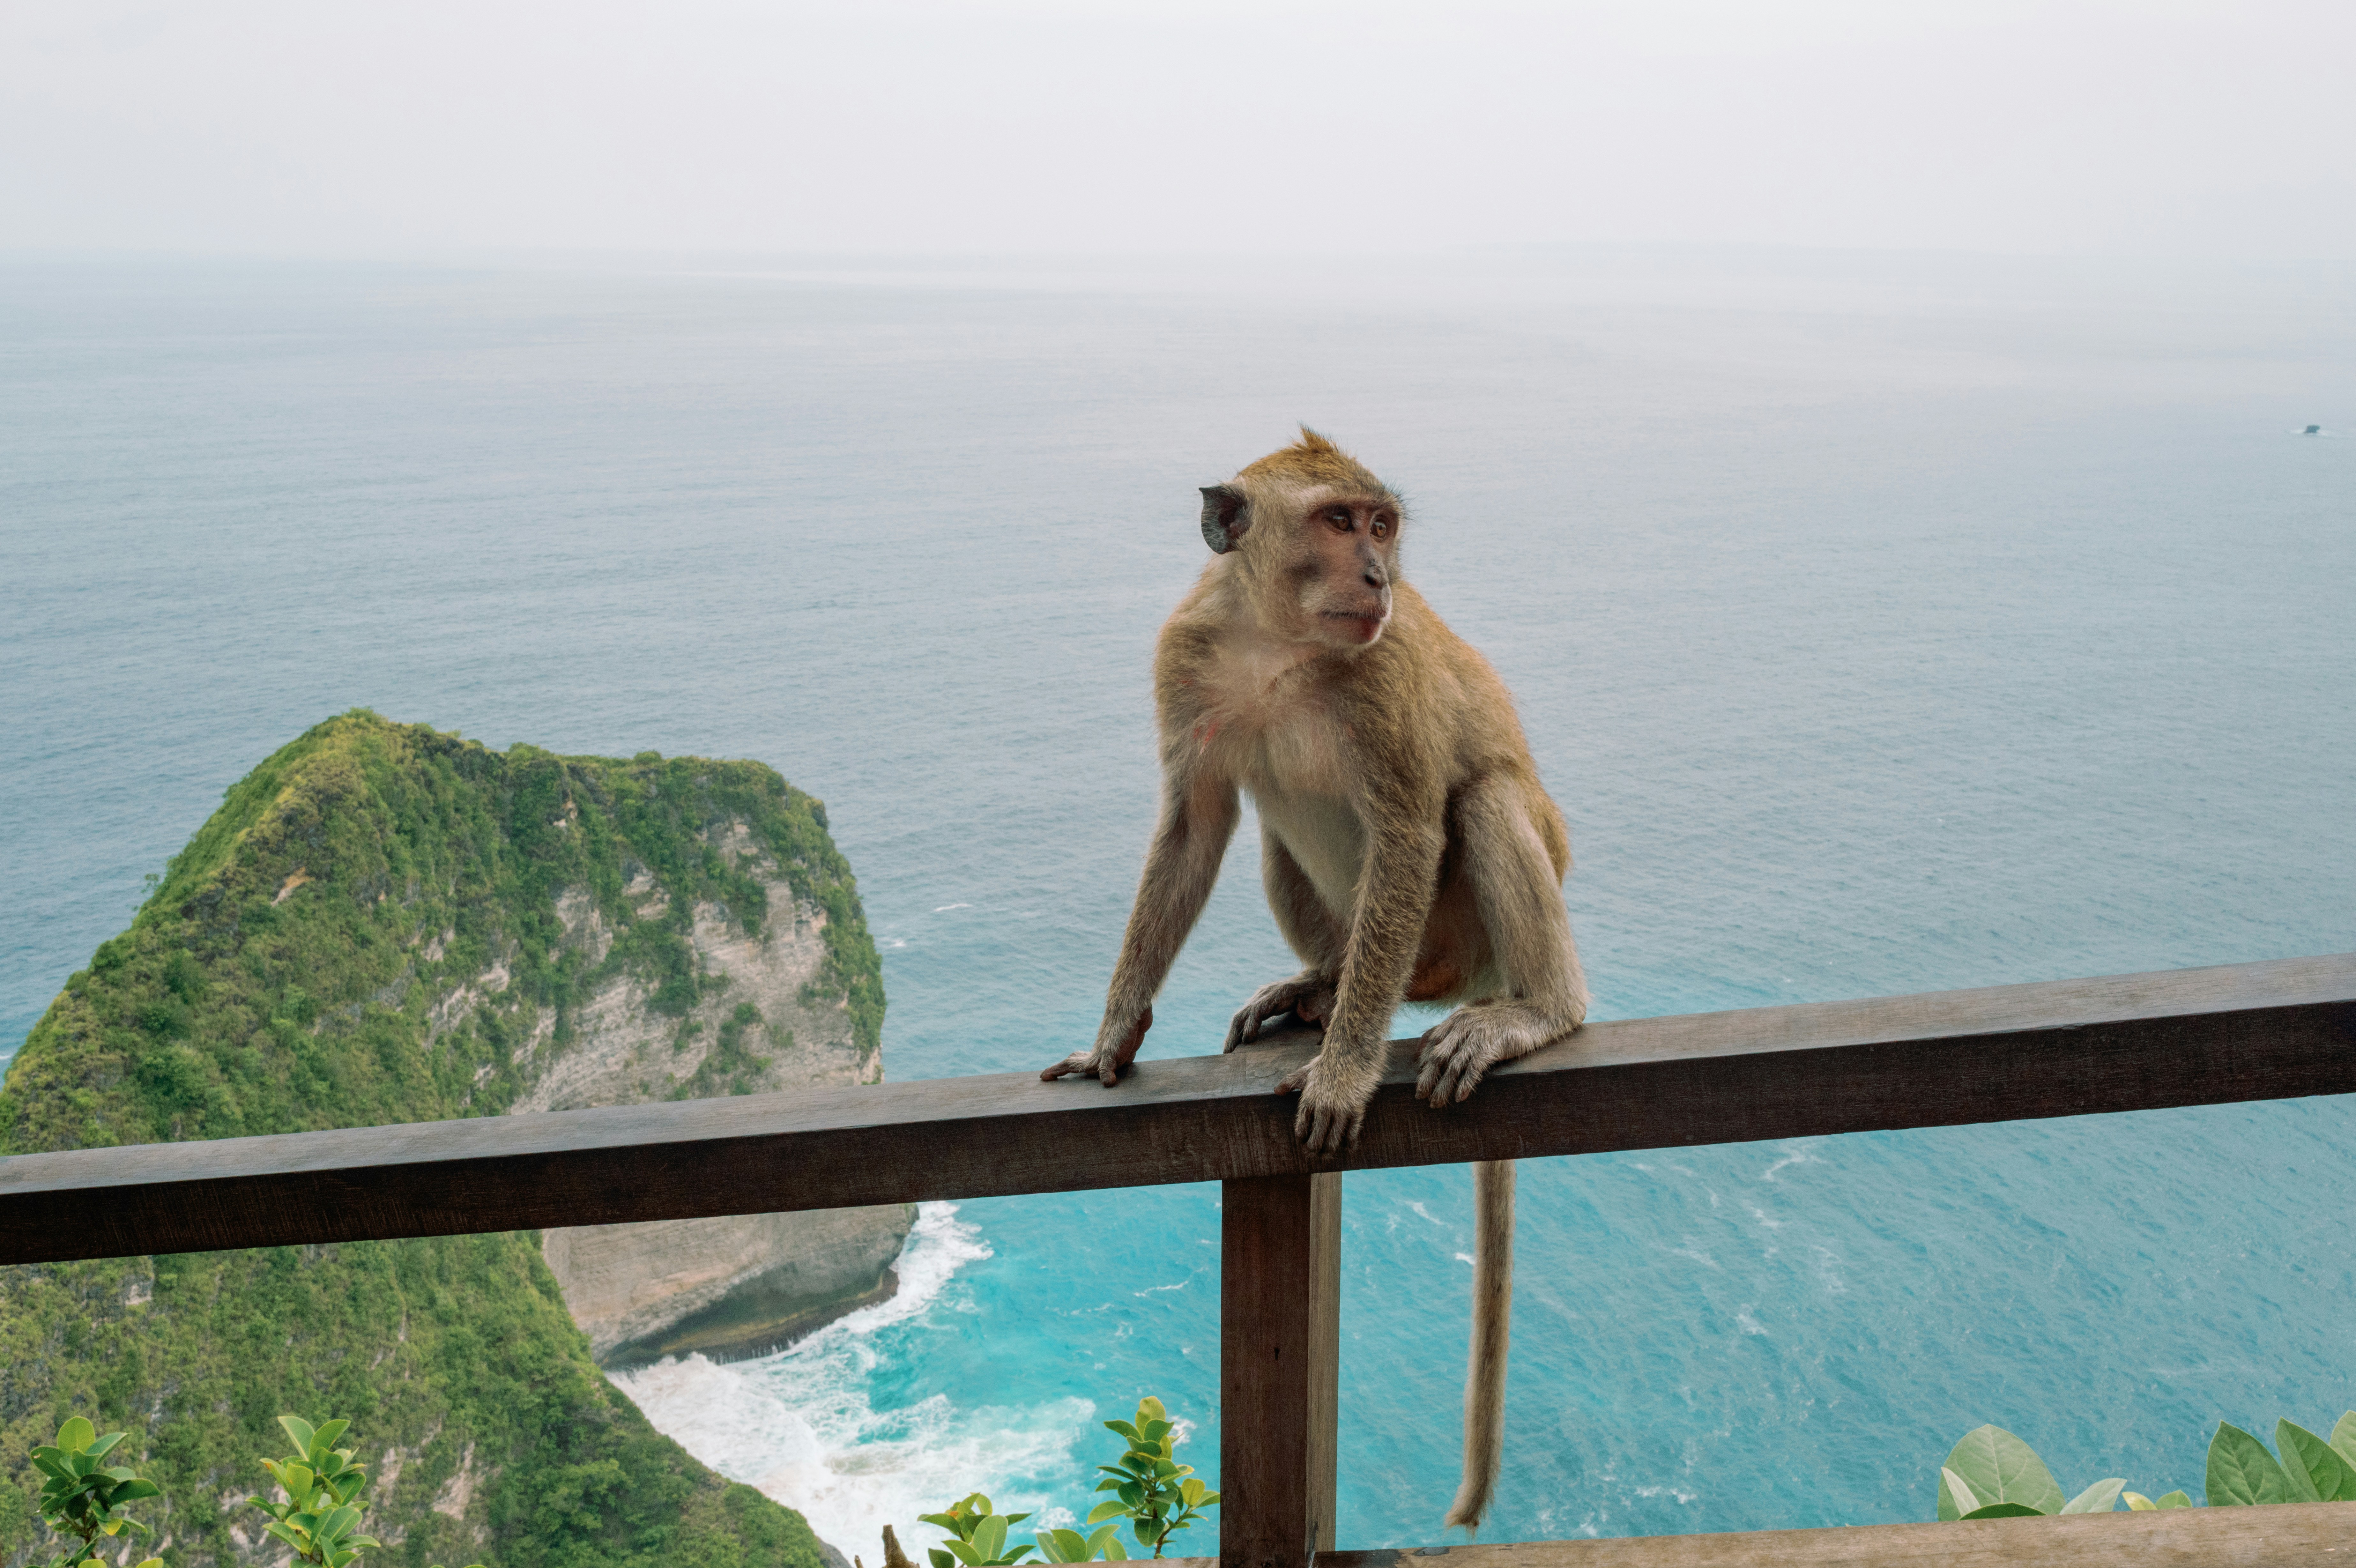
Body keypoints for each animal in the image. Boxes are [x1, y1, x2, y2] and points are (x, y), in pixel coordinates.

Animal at [1041, 428, 1589, 1532]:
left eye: (1381, 525)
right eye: (1338, 522)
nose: (1380, 575)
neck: (1274, 642)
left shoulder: (1383, 673)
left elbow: (1410, 830)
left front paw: (1342, 1075)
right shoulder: (1184, 659)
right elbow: (1194, 823)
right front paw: (1114, 1033)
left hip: (1457, 938)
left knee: (1483, 800)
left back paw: (1521, 1013)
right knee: (1269, 823)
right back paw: (1320, 986)